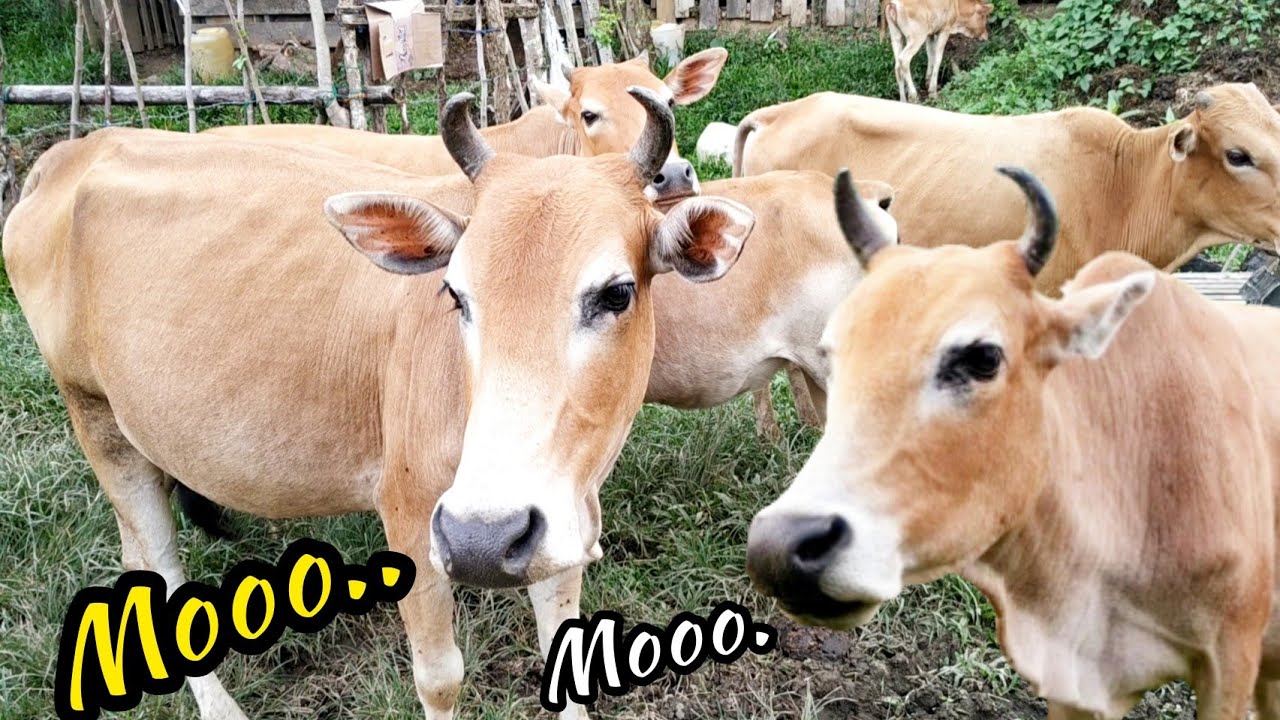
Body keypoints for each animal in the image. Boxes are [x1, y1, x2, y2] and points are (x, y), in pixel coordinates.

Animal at [3, 88, 756, 720]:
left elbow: (562, 650)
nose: (481, 541)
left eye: (616, 293)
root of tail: (70, 154)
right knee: (152, 561)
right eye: (455, 294)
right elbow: (440, 677)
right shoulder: (414, 516)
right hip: (98, 421)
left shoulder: (554, 520)